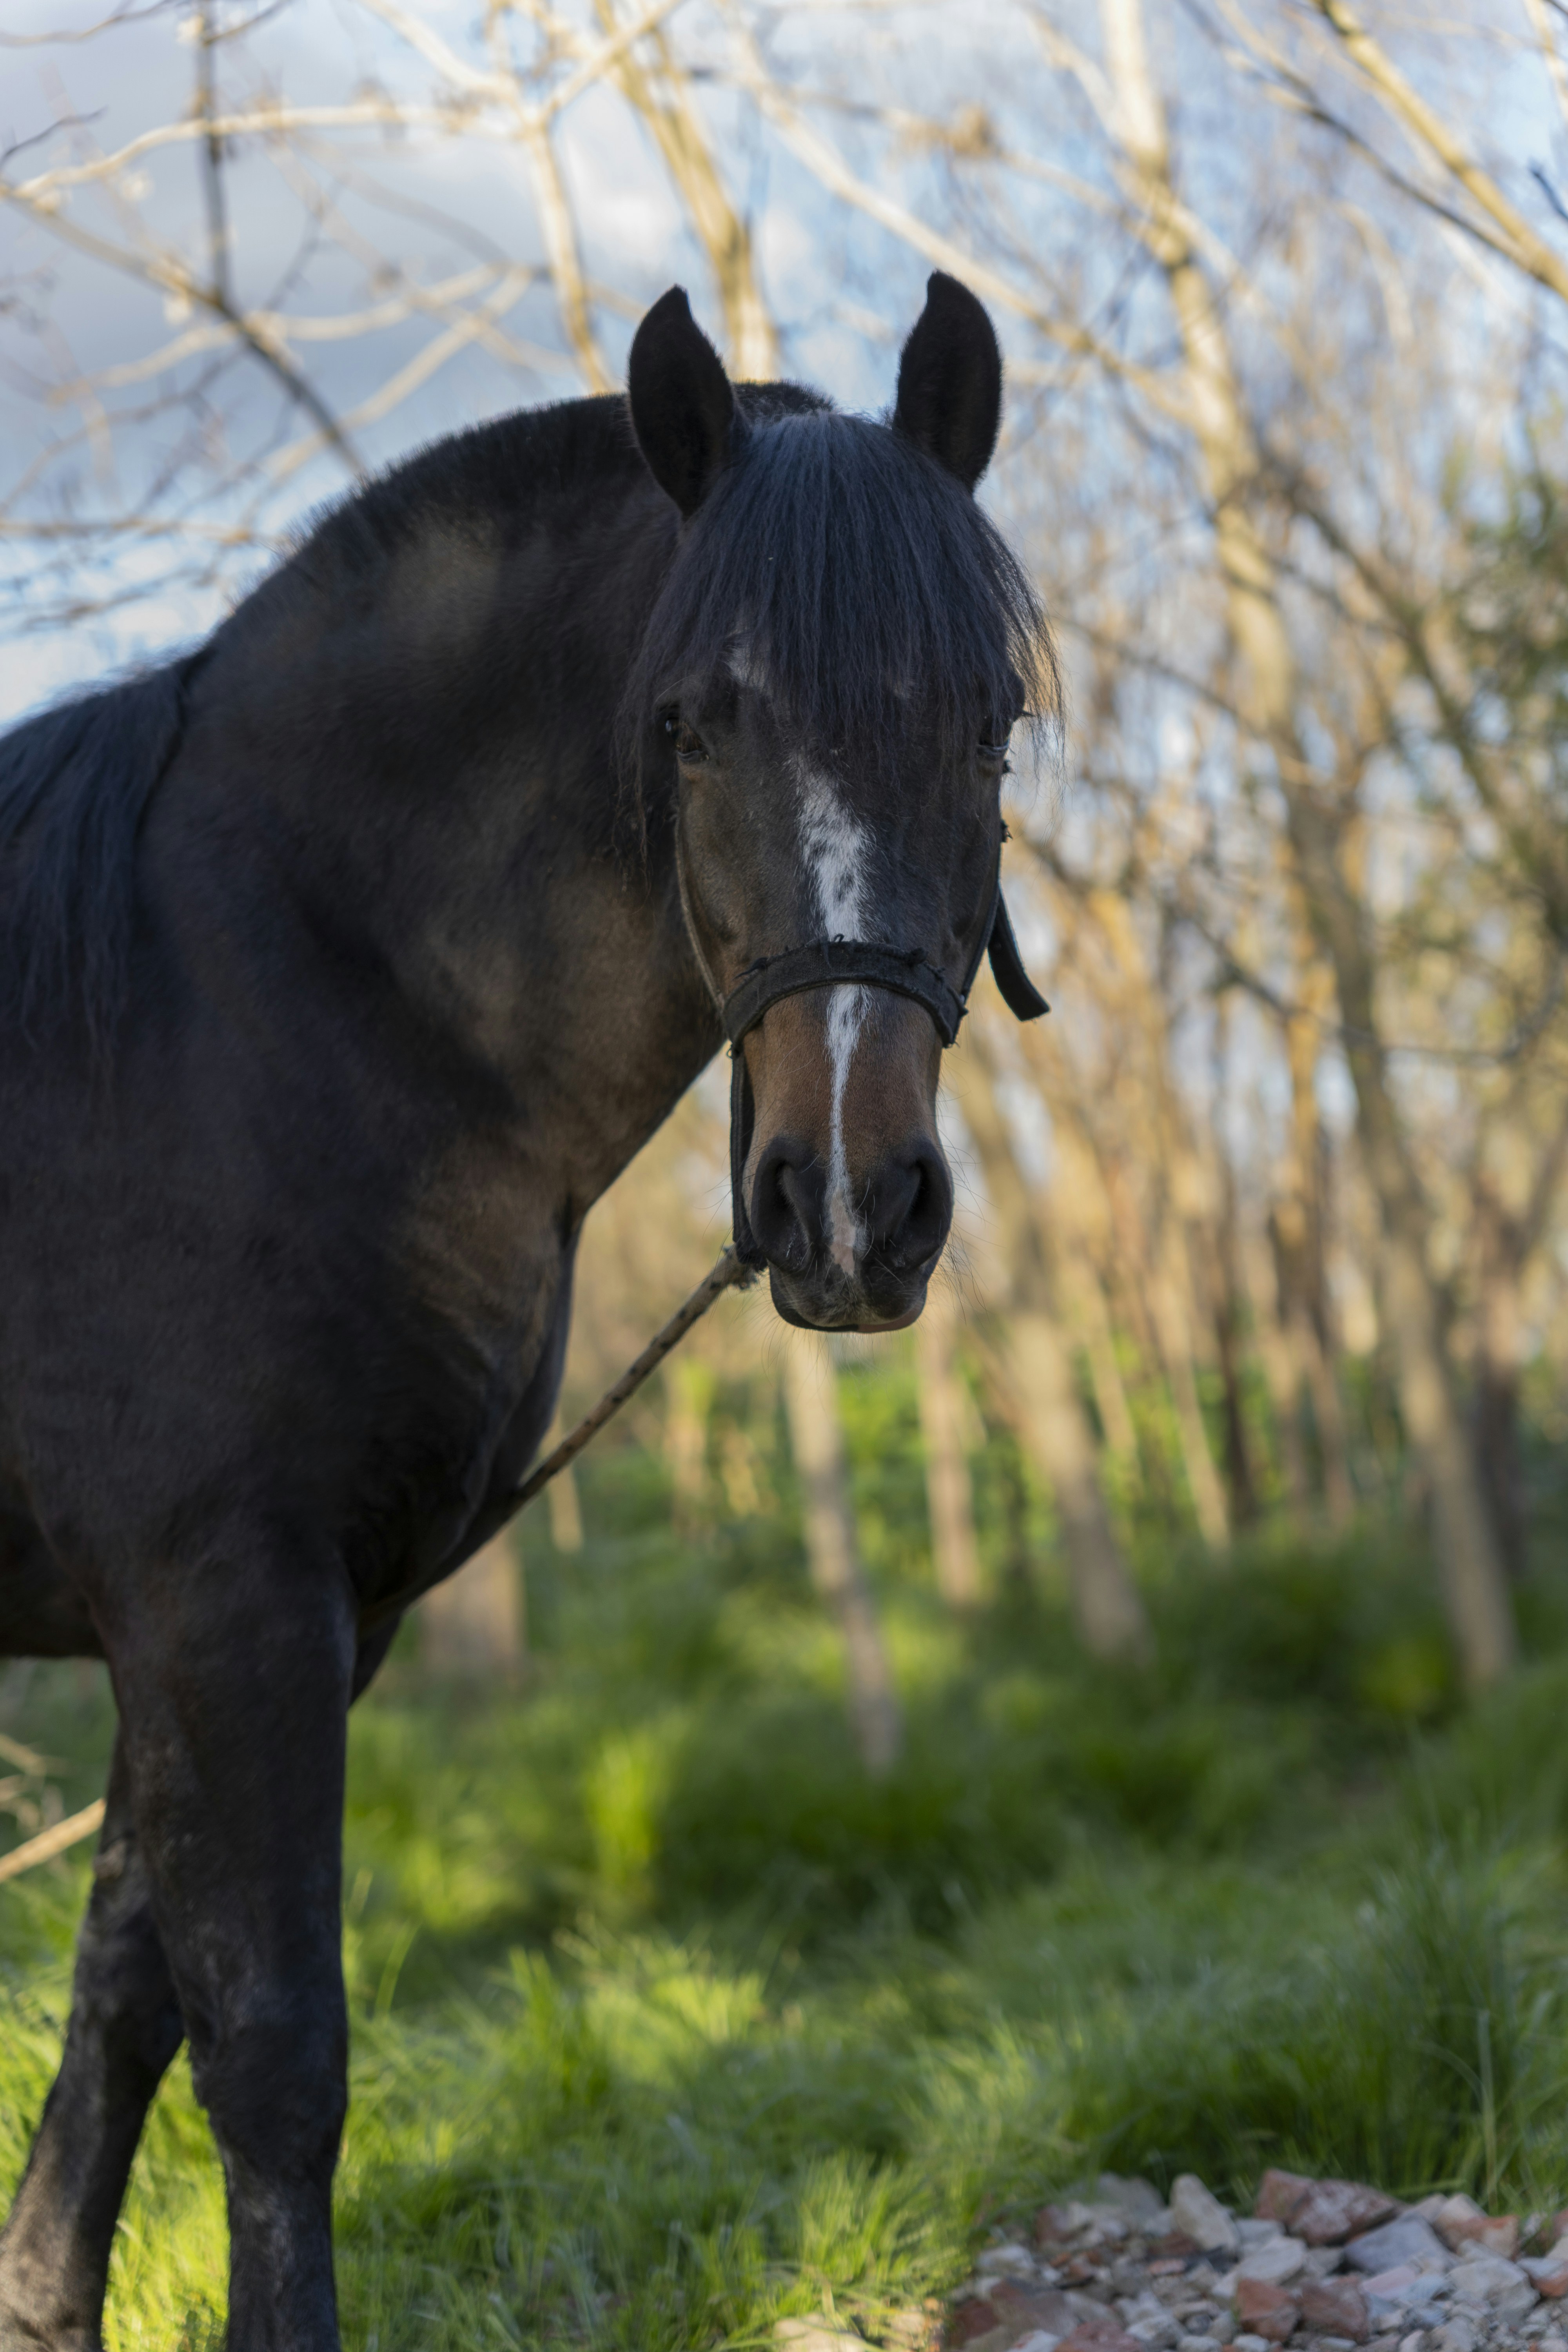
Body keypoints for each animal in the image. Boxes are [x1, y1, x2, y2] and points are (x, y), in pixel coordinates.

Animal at [0, 270, 1053, 2349]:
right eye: (688, 725)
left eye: (989, 717)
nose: (847, 1205)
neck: (246, 997)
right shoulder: (222, 1600)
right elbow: (274, 2054)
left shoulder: (280, 1618)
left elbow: (118, 2019)